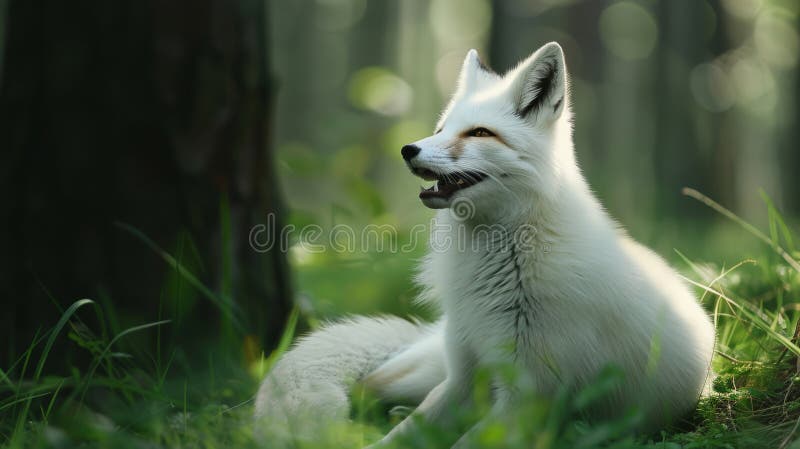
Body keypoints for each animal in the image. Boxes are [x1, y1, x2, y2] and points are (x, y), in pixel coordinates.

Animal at [255, 42, 716, 447]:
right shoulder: (462, 376)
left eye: (479, 133)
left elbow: (464, 442)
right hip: (425, 371)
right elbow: (400, 438)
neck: (501, 268)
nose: (408, 149)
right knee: (370, 391)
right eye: (440, 129)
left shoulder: (528, 398)